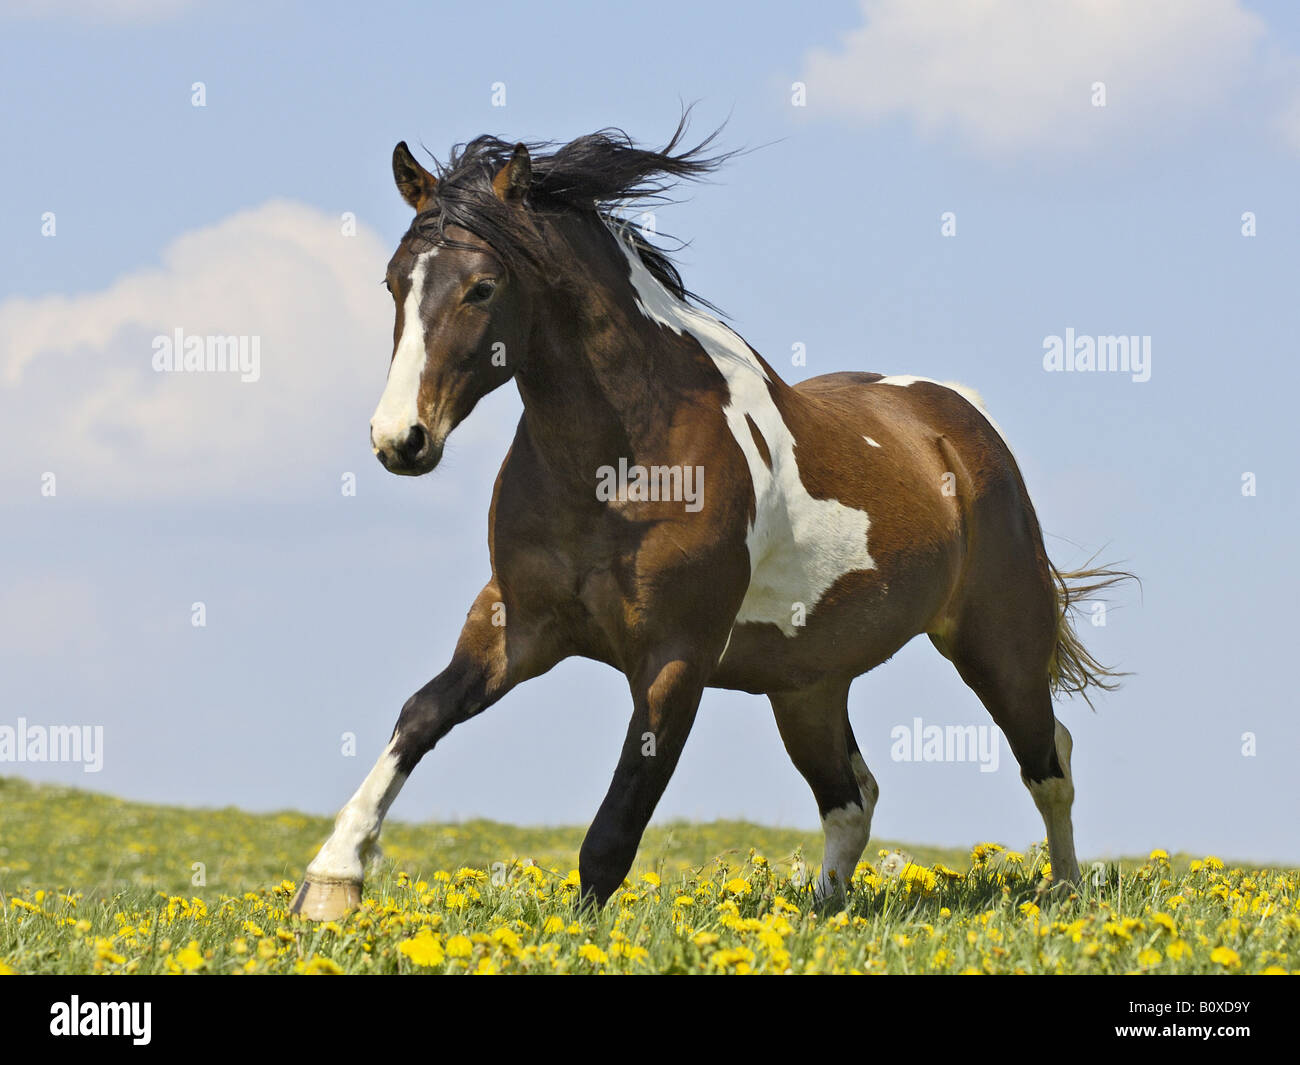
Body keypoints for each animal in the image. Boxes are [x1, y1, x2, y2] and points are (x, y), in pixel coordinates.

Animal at [290, 119, 1131, 921]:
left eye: (482, 287)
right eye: (394, 281)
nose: (399, 439)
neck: (622, 459)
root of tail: (955, 421)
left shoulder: (676, 658)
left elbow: (613, 830)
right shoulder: (517, 624)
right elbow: (421, 715)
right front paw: (330, 883)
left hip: (995, 640)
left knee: (1047, 760)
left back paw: (1063, 895)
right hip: (807, 685)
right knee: (852, 798)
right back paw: (821, 912)